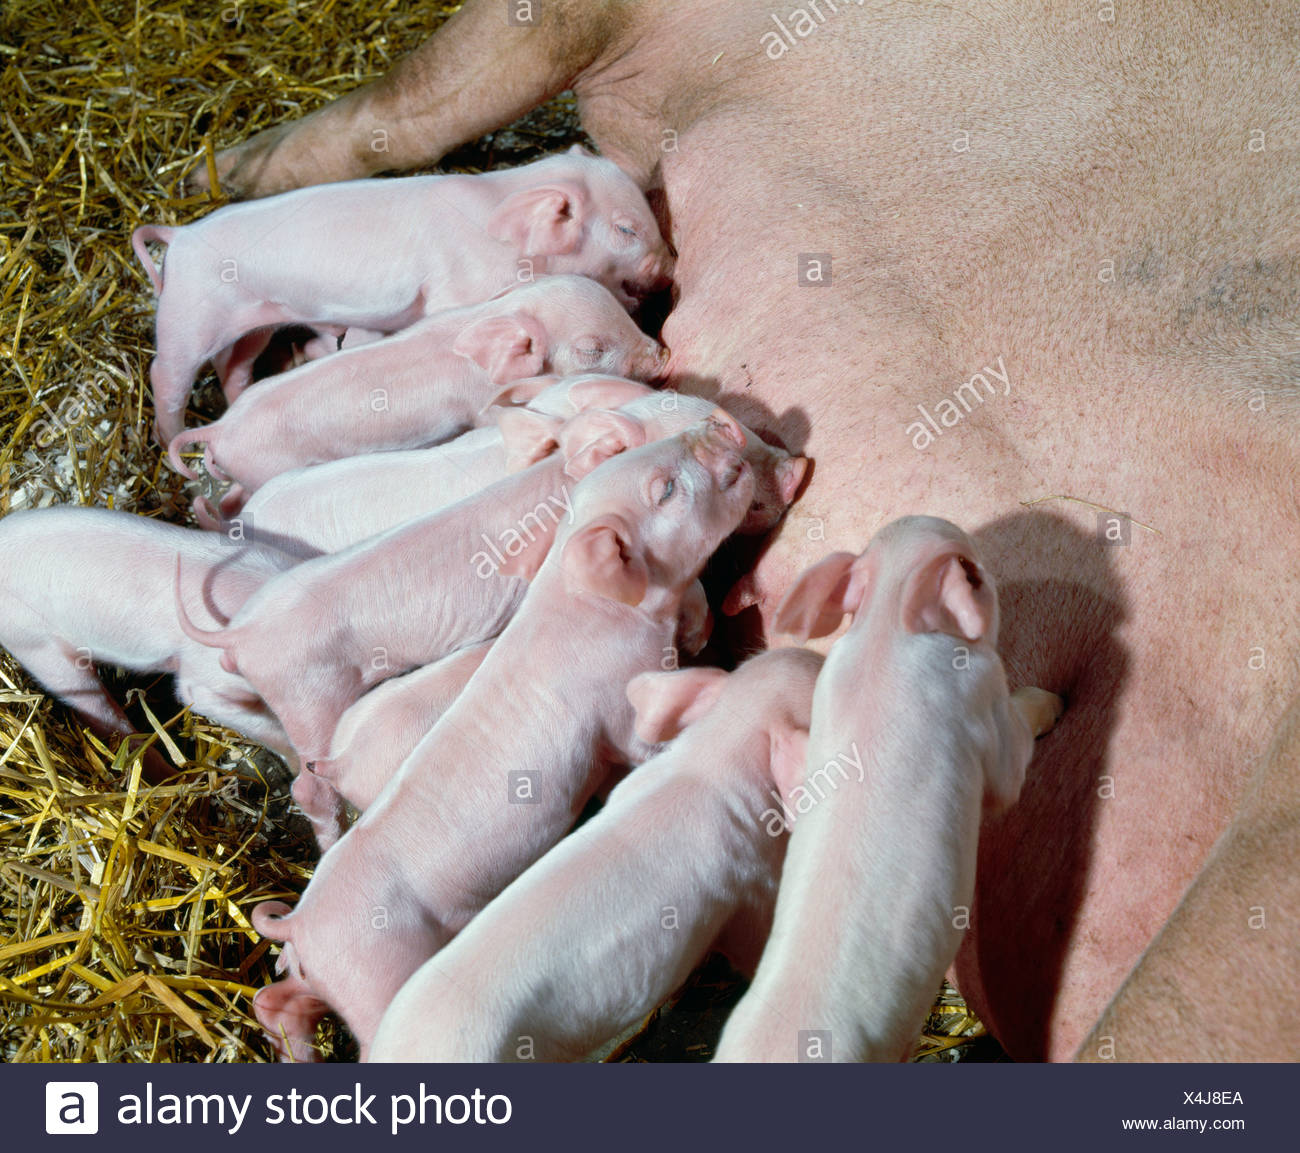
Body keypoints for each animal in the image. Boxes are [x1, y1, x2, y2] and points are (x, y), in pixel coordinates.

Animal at [134, 146, 672, 442]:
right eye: (626, 228)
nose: (669, 266)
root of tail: (179, 236)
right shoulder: (461, 287)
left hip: (254, 323)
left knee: (235, 367)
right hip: (189, 316)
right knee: (166, 374)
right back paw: (172, 440)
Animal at [248, 414, 760, 1061]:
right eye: (665, 488)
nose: (719, 424)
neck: (598, 607)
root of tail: (301, 922)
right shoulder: (619, 708)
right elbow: (642, 747)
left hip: (321, 975)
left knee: (276, 1000)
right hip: (375, 979)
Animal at [712, 517, 1062, 1063]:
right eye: (973, 572)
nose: (992, 569)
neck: (887, 629)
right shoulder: (984, 699)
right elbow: (1009, 773)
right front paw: (1055, 702)